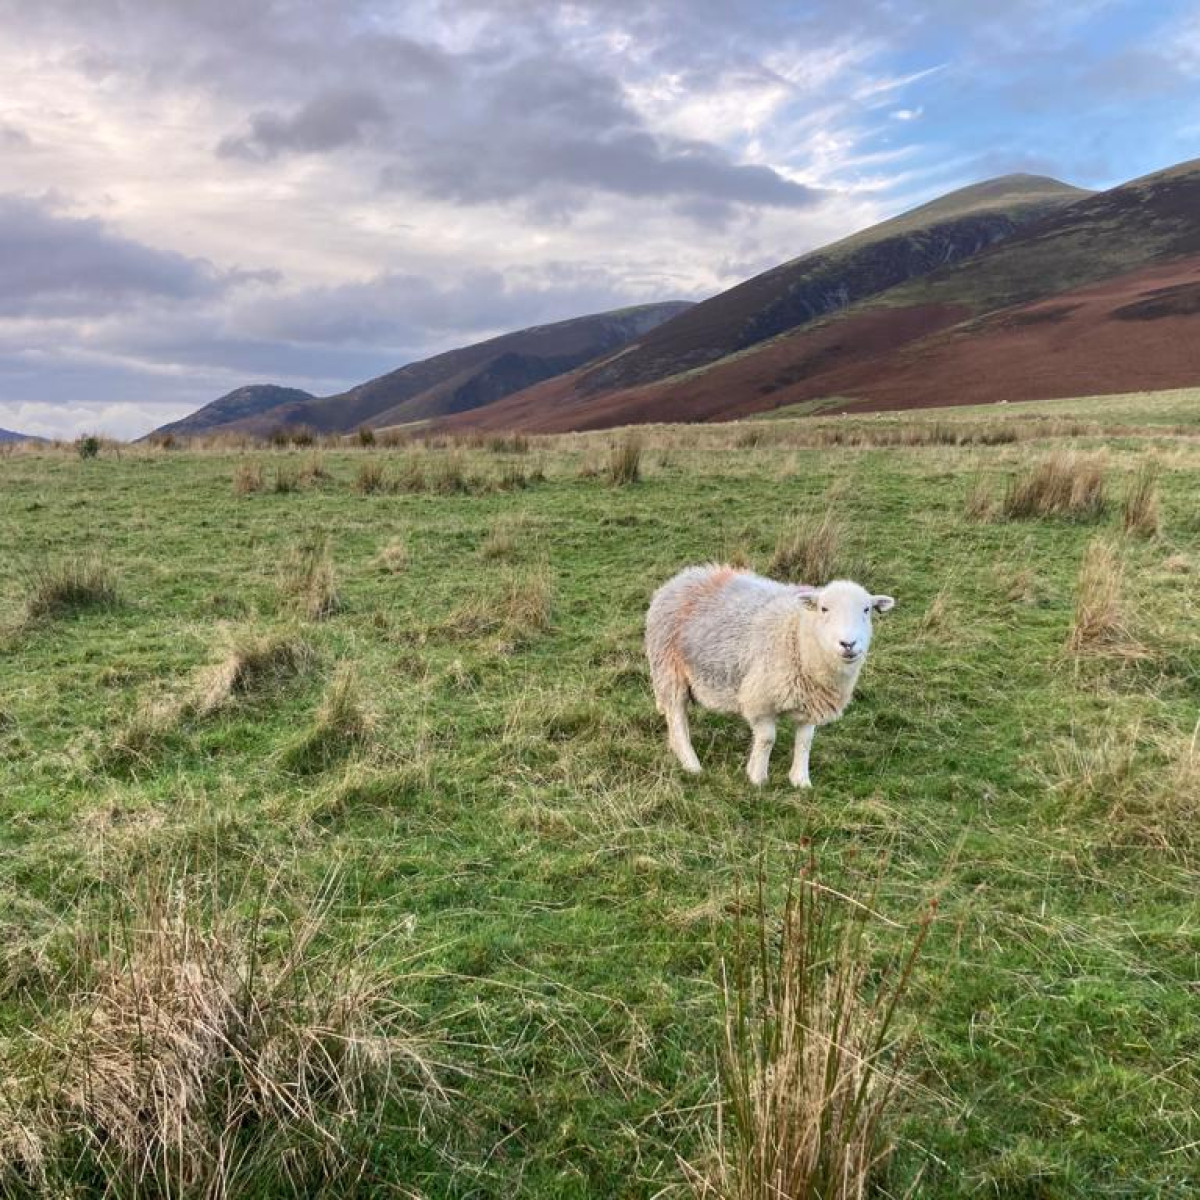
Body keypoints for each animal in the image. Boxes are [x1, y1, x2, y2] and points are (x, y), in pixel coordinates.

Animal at [645, 565, 894, 787]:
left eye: (867, 610)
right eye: (824, 609)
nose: (848, 644)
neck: (799, 634)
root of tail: (681, 577)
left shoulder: (810, 703)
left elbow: (805, 742)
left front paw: (800, 780)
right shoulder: (760, 698)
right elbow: (767, 740)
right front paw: (757, 777)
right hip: (669, 669)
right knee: (677, 719)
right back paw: (691, 764)